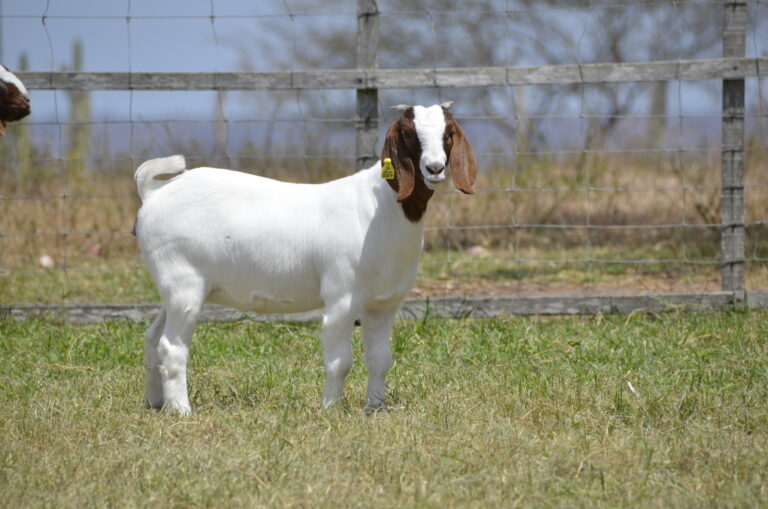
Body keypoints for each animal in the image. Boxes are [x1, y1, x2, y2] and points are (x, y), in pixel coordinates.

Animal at [134, 102, 476, 414]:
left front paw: (375, 408)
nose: (435, 169)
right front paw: (330, 408)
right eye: (408, 133)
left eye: (448, 133)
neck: (379, 208)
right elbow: (340, 362)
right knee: (171, 347)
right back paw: (180, 410)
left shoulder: (384, 304)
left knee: (152, 338)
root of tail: (154, 193)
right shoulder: (341, 298)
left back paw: (155, 402)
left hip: (174, 289)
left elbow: (381, 360)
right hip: (184, 284)